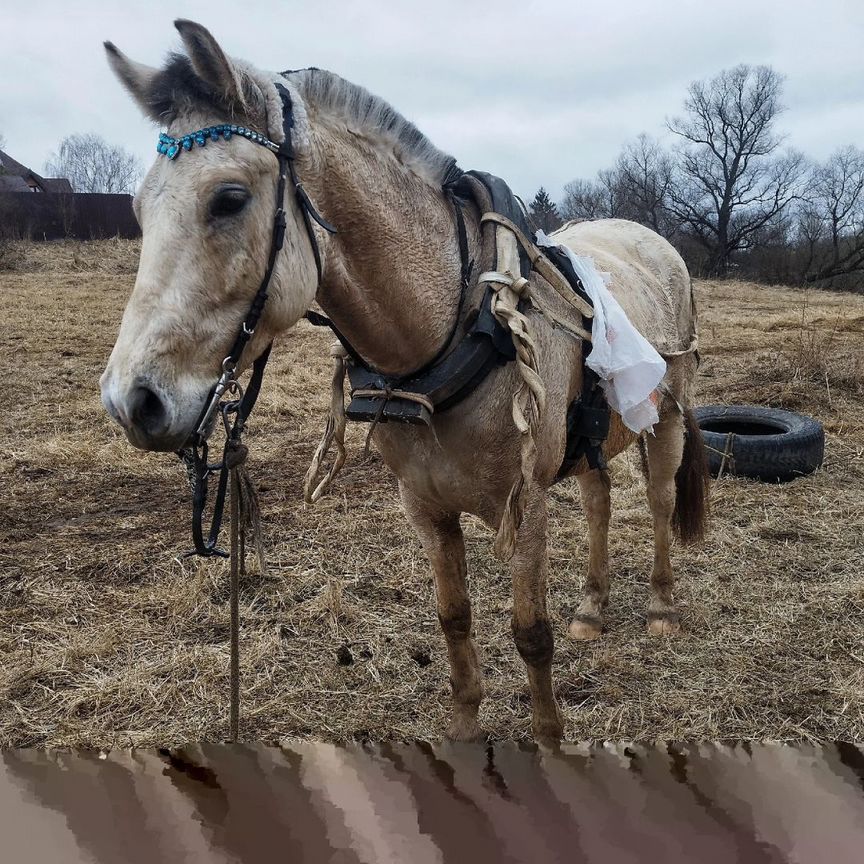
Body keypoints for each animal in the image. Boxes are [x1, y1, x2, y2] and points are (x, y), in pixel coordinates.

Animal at [100, 19, 708, 743]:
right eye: (138, 209)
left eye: (229, 198)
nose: (132, 400)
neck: (454, 325)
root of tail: (652, 241)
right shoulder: (426, 507)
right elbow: (454, 620)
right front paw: (466, 731)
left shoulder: (524, 507)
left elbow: (531, 634)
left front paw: (549, 738)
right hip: (587, 439)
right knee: (598, 500)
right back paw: (591, 608)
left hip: (666, 413)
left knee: (661, 499)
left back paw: (662, 606)